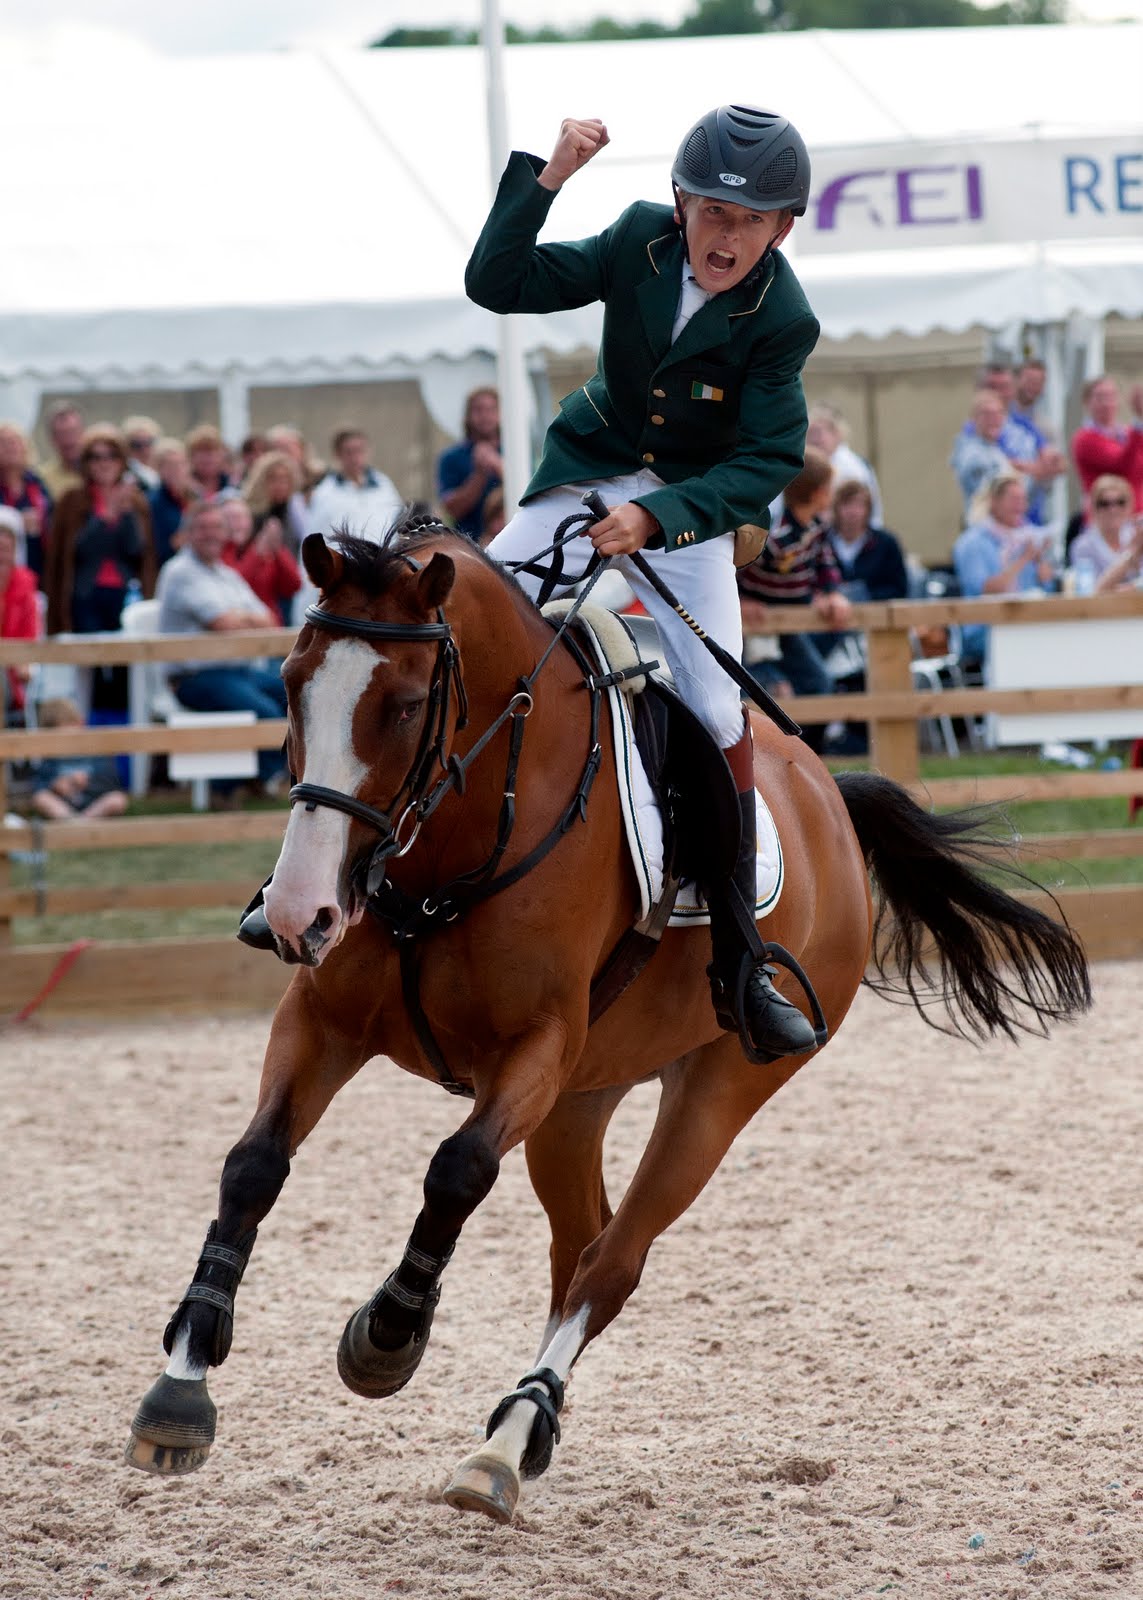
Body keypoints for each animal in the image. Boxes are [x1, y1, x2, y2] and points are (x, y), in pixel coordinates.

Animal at [125, 518, 1090, 1523]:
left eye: (403, 704)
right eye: (289, 683)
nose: (298, 913)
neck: (450, 845)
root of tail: (827, 792)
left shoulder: (535, 1050)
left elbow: (456, 1171)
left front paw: (388, 1333)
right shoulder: (322, 1021)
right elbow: (253, 1167)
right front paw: (180, 1387)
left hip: (713, 1094)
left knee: (610, 1262)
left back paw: (504, 1444)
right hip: (579, 1103)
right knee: (575, 1245)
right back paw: (528, 1432)